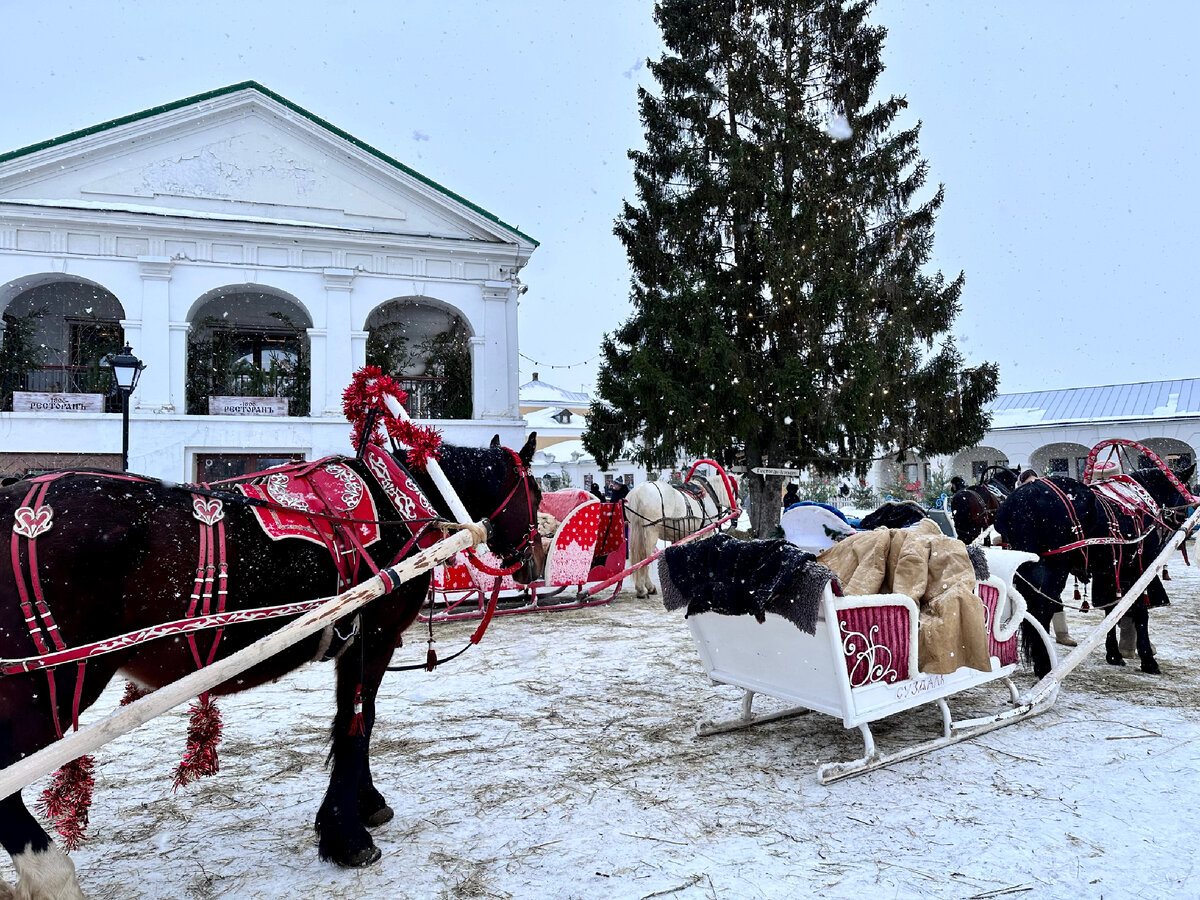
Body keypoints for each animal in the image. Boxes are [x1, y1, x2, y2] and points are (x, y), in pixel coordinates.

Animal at [0, 434, 544, 897]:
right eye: (536, 492)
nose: (533, 561)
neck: (401, 503)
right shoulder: (374, 638)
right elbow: (358, 724)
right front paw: (347, 835)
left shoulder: (353, 642)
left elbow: (355, 721)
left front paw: (365, 805)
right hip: (48, 683)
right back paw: (53, 878)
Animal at [624, 472, 734, 600]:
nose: (738, 508)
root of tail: (638, 492)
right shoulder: (706, 532)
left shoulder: (681, 536)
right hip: (650, 531)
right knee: (645, 559)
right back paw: (644, 589)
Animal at [993, 465, 1190, 676]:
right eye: (1185, 491)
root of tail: (1025, 497)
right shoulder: (1140, 569)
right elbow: (1139, 611)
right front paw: (1148, 660)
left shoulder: (1110, 573)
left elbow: (1111, 610)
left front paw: (1114, 655)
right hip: (1052, 570)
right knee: (1042, 610)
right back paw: (1045, 665)